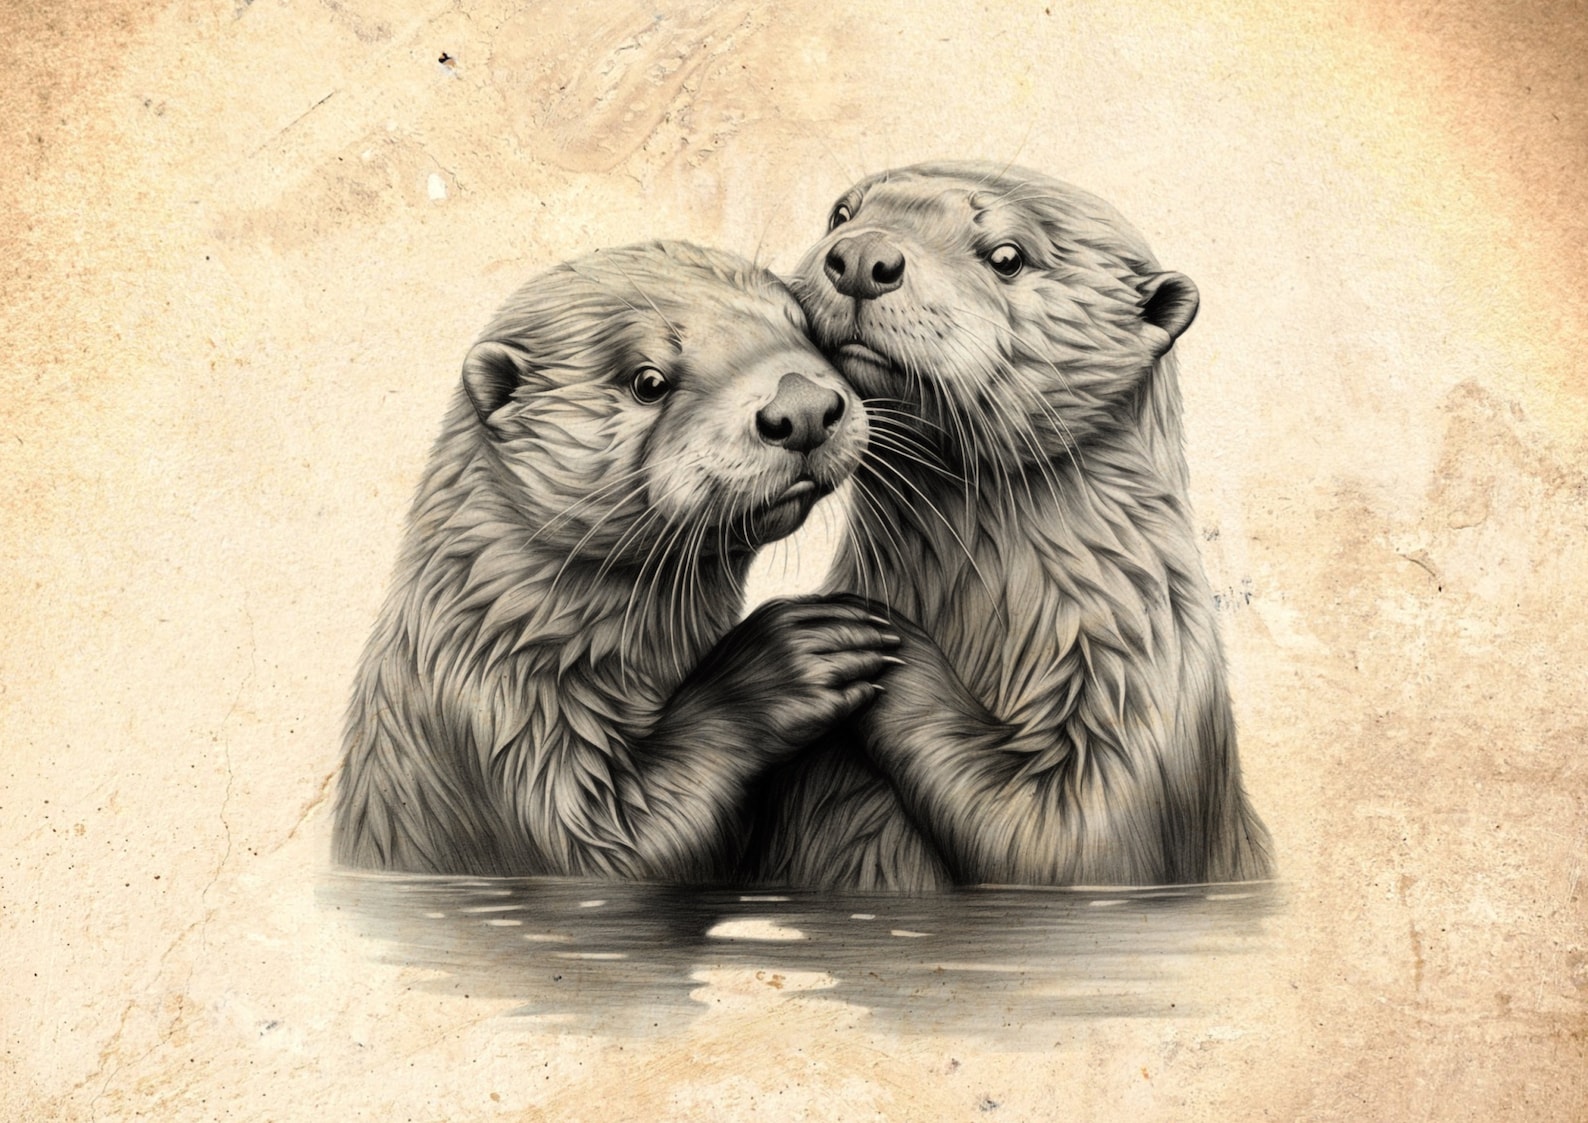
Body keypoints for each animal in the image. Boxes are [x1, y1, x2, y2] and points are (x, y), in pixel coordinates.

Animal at [333, 241, 898, 880]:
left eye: (803, 329)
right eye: (647, 381)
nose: (802, 406)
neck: (515, 623)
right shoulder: (499, 724)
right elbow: (614, 849)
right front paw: (793, 655)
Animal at [750, 162, 1273, 889]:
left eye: (1007, 256)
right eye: (840, 214)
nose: (862, 256)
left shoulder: (1145, 686)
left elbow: (1073, 840)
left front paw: (870, 638)